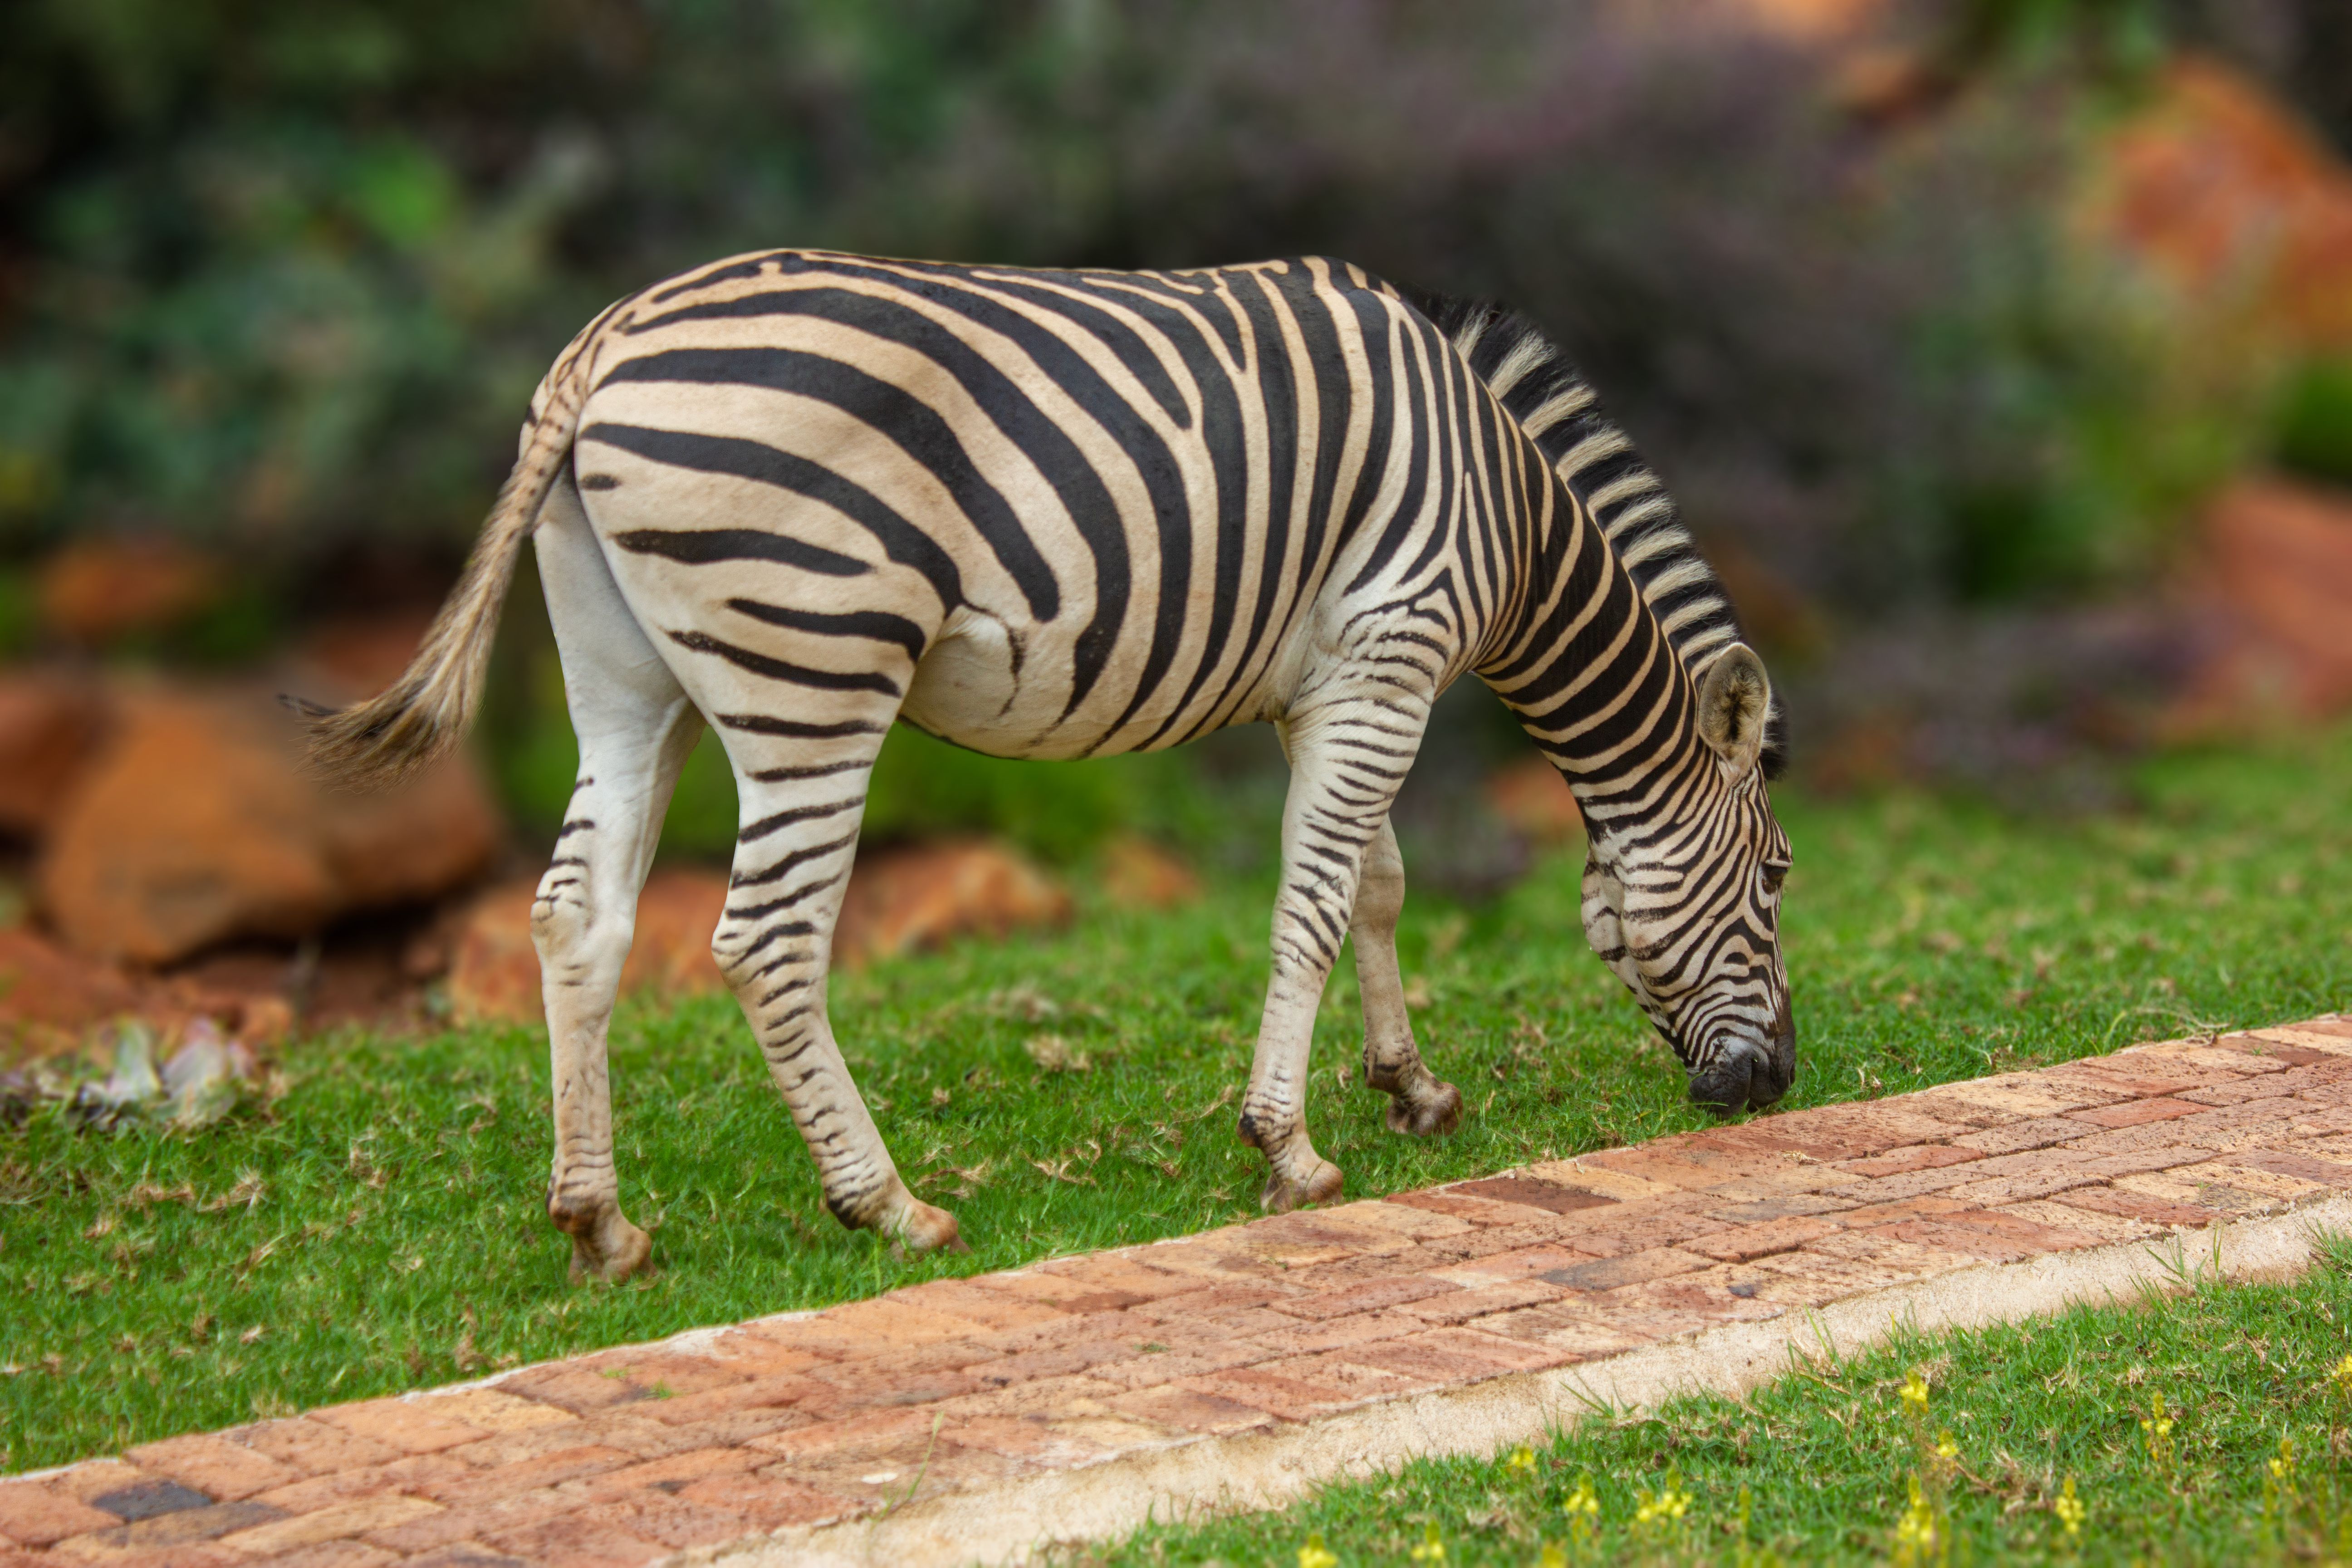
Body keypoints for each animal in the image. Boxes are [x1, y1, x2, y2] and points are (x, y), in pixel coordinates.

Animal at [302, 250, 1795, 1280]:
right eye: (1779, 876)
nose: (1775, 1085)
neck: (1511, 516)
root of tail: (606, 342)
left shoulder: (1337, 685)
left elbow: (1373, 888)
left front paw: (1411, 1090)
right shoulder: (1389, 659)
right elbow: (1314, 908)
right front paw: (1291, 1150)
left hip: (627, 679)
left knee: (577, 919)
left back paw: (600, 1224)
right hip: (815, 669)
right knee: (766, 941)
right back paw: (889, 1205)